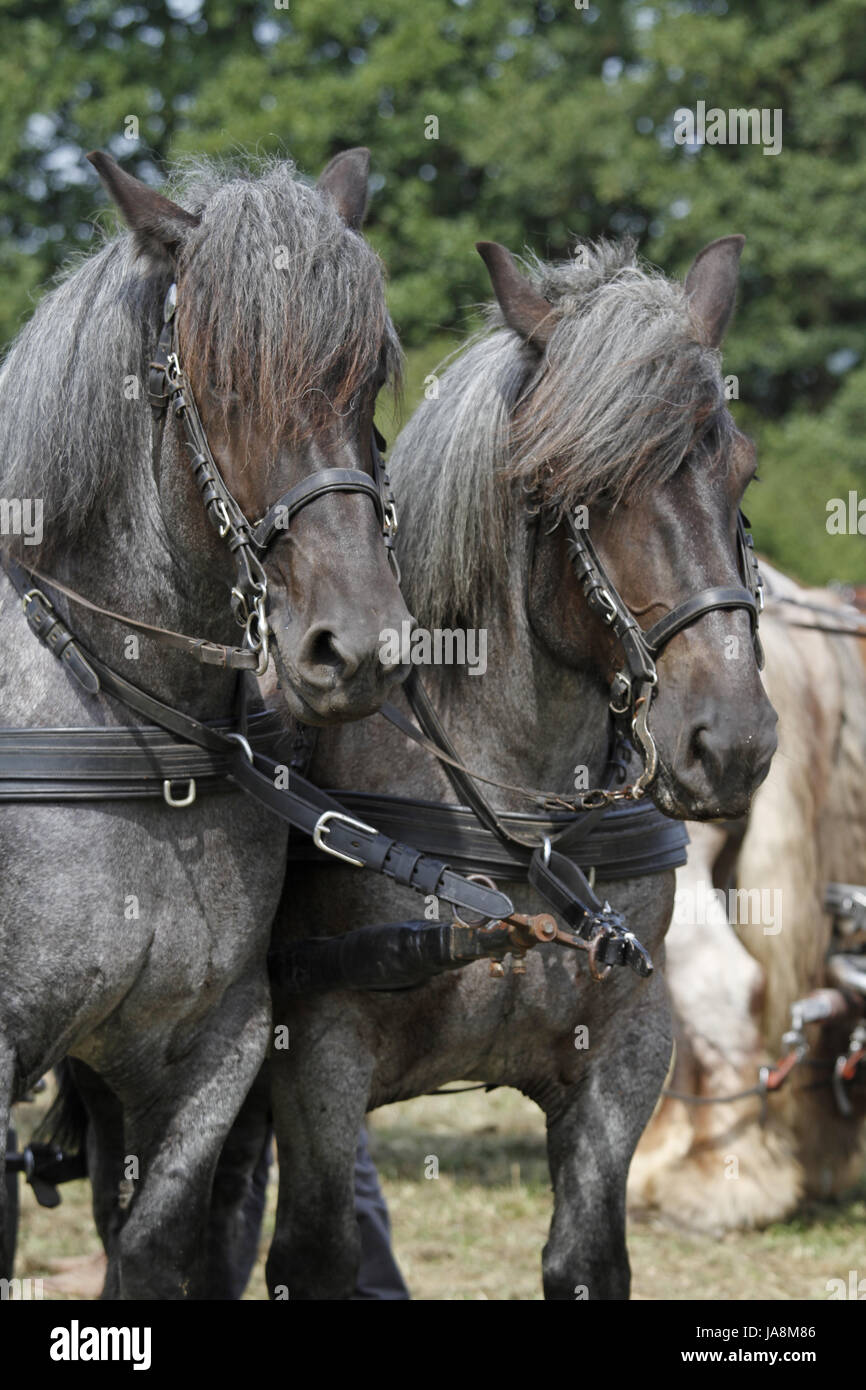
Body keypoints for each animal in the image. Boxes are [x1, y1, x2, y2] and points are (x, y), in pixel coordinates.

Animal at [205, 230, 779, 1301]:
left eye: (743, 474)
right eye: (580, 484)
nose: (731, 743)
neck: (523, 831)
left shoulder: (623, 1055)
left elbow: (586, 1255)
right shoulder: (316, 1057)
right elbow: (315, 1249)